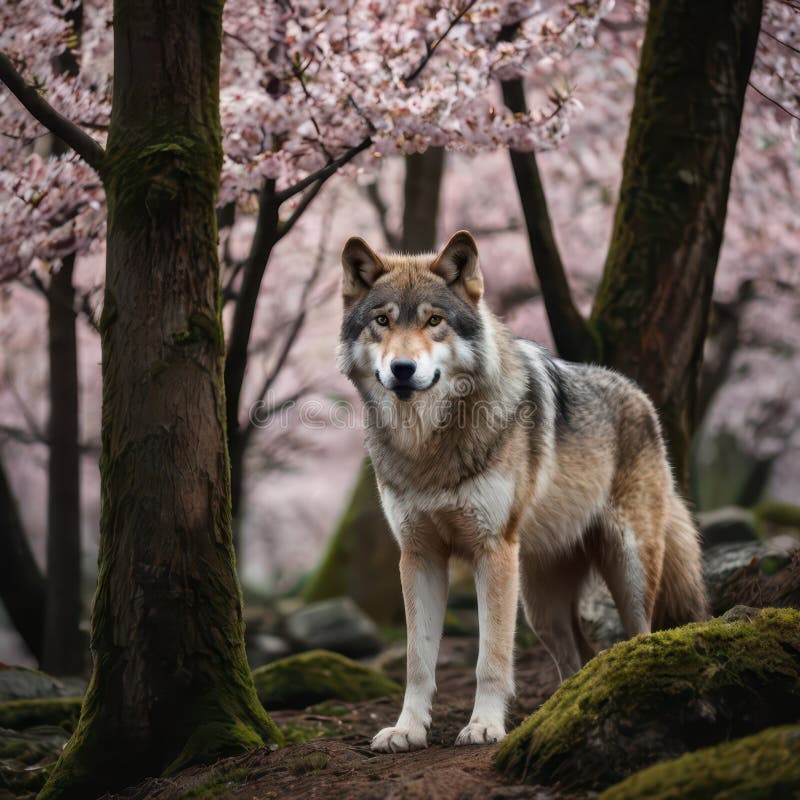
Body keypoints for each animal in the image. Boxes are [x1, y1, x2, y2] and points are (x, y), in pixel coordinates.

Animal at [337, 230, 707, 753]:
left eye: (434, 320)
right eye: (383, 321)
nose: (403, 368)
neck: (428, 446)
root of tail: (639, 395)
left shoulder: (492, 552)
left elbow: (490, 658)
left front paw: (485, 726)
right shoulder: (418, 556)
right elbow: (417, 661)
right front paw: (408, 730)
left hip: (626, 568)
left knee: (639, 632)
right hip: (539, 606)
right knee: (578, 653)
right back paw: (568, 704)